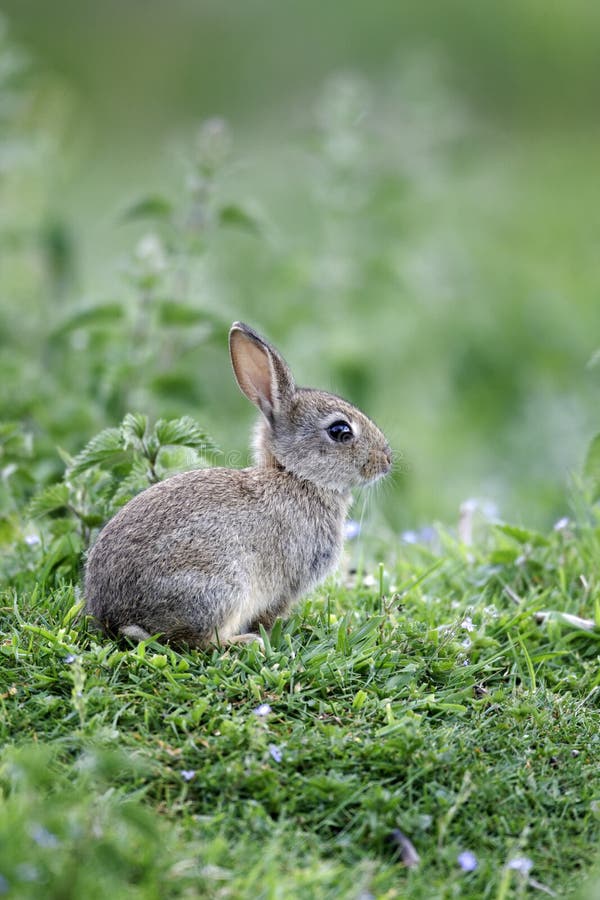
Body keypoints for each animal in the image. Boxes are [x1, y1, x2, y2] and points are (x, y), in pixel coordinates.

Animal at [84, 322, 392, 648]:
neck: (295, 475)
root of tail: (112, 618)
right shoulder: (287, 583)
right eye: (340, 431)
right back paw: (245, 642)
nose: (386, 460)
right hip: (220, 588)